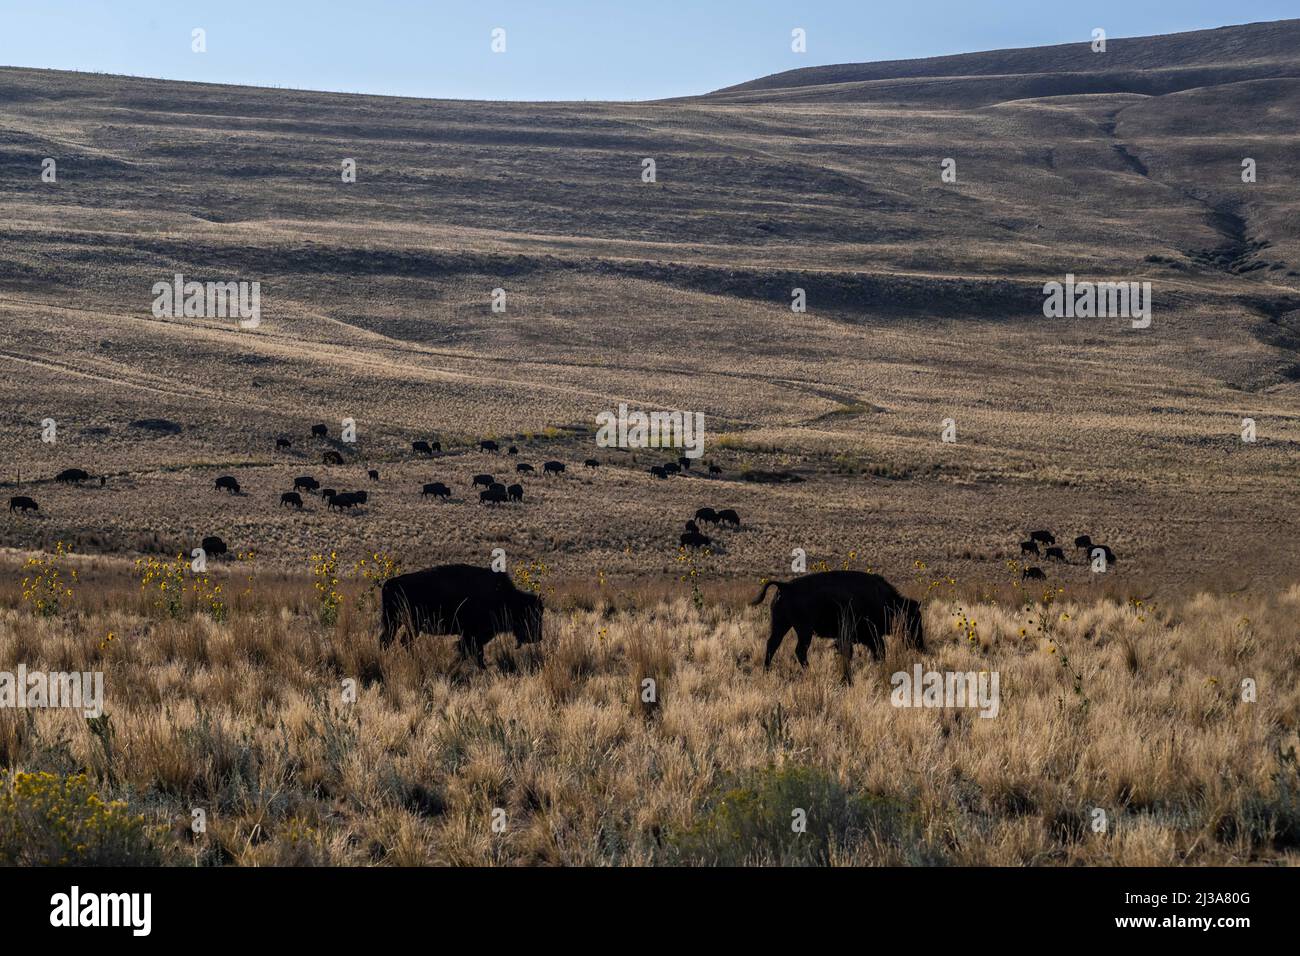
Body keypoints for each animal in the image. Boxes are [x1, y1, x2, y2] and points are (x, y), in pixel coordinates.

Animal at [378, 564, 544, 665]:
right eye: (530, 615)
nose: (538, 637)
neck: (507, 598)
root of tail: (389, 583)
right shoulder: (474, 635)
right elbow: (471, 651)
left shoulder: (475, 636)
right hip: (404, 624)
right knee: (398, 641)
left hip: (398, 624)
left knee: (393, 640)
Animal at [751, 570, 924, 670]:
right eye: (913, 619)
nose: (920, 645)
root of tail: (785, 586)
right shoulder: (865, 635)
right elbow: (873, 650)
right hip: (804, 631)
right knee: (799, 651)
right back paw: (809, 670)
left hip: (781, 625)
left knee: (772, 644)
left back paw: (767, 670)